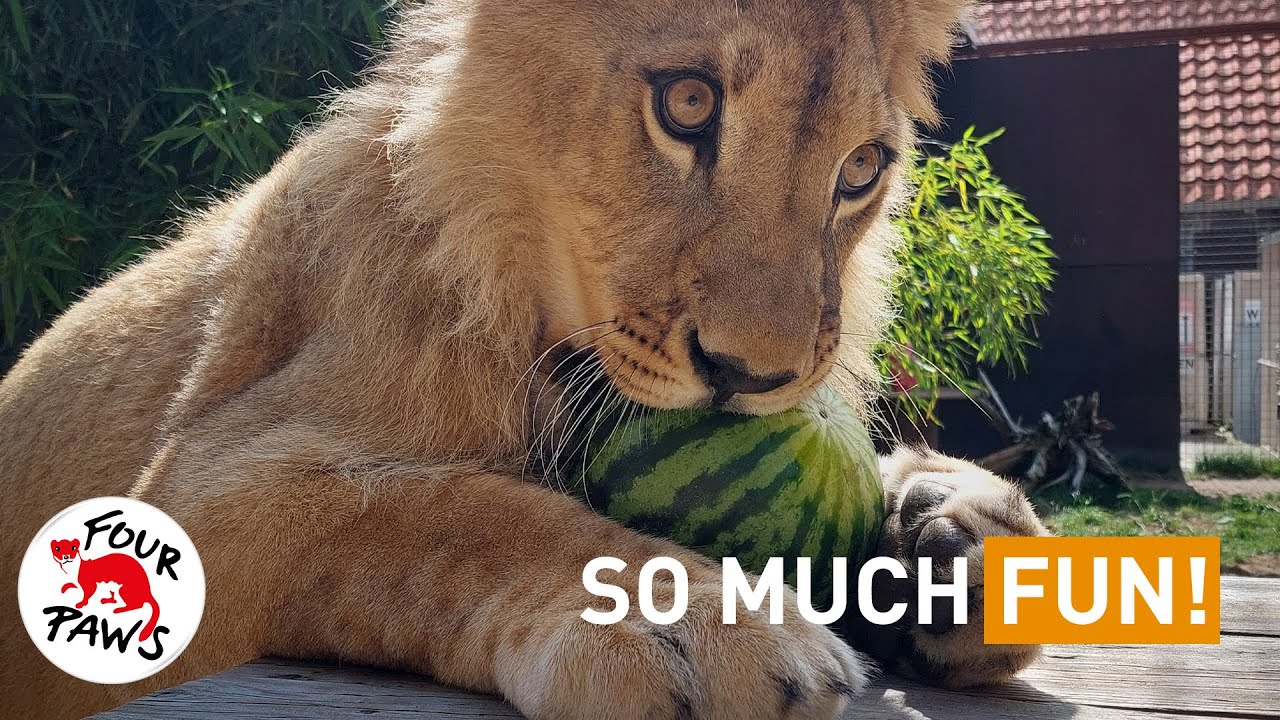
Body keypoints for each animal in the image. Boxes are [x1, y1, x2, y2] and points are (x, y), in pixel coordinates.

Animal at [0, 0, 1048, 717]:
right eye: (688, 102)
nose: (756, 380)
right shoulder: (202, 485)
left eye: (861, 171)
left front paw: (954, 535)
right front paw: (691, 615)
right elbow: (447, 512)